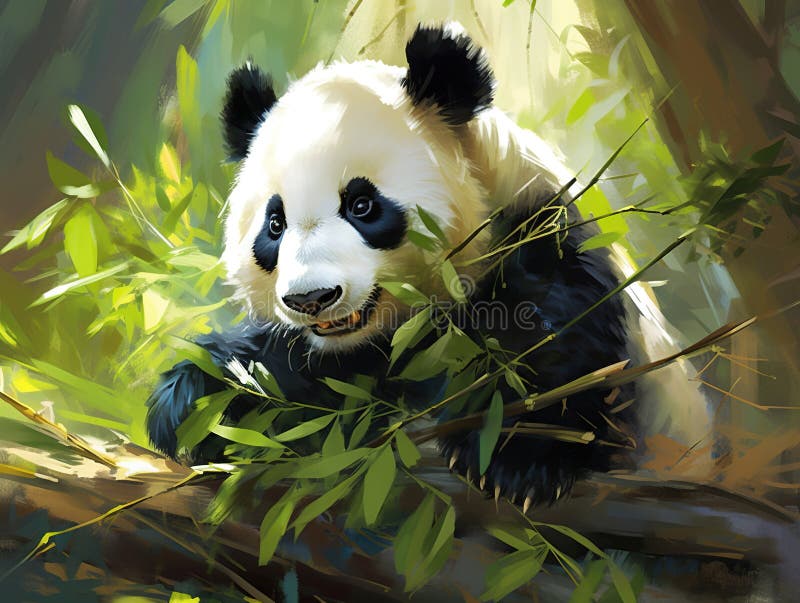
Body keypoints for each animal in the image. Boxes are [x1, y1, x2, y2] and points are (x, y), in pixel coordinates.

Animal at [147, 24, 711, 508]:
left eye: (362, 205)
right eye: (275, 224)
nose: (311, 299)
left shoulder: (542, 238)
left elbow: (558, 353)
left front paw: (515, 457)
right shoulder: (342, 357)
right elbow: (308, 396)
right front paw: (198, 400)